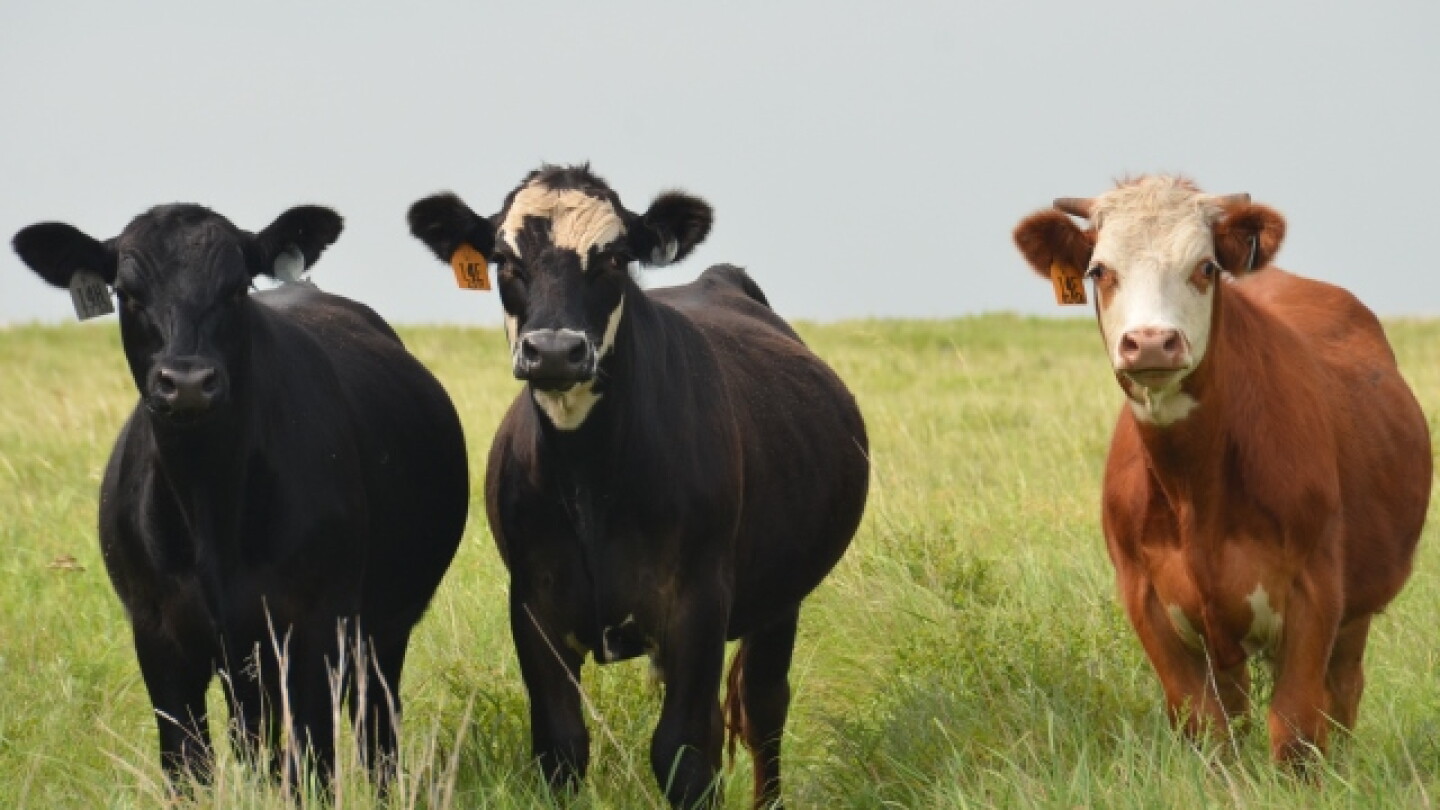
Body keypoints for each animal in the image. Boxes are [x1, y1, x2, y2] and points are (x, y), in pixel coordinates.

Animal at [11, 204, 469, 788]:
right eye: (128, 293)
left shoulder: (312, 628)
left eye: (236, 287)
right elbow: (187, 765)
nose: (186, 382)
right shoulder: (159, 637)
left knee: (375, 732)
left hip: (380, 632)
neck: (210, 503)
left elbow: (309, 764)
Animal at [407, 164, 870, 808]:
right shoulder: (533, 607)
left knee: (764, 709)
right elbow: (561, 747)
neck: (591, 482)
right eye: (503, 258)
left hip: (783, 597)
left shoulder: (698, 603)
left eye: (615, 257)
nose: (555, 350)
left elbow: (684, 753)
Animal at [1012, 175, 1431, 765]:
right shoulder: (1147, 600)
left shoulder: (1315, 593)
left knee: (1343, 691)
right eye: (1098, 270)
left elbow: (1296, 729)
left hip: (1357, 606)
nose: (1150, 341)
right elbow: (1205, 728)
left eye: (1205, 267)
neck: (1194, 489)